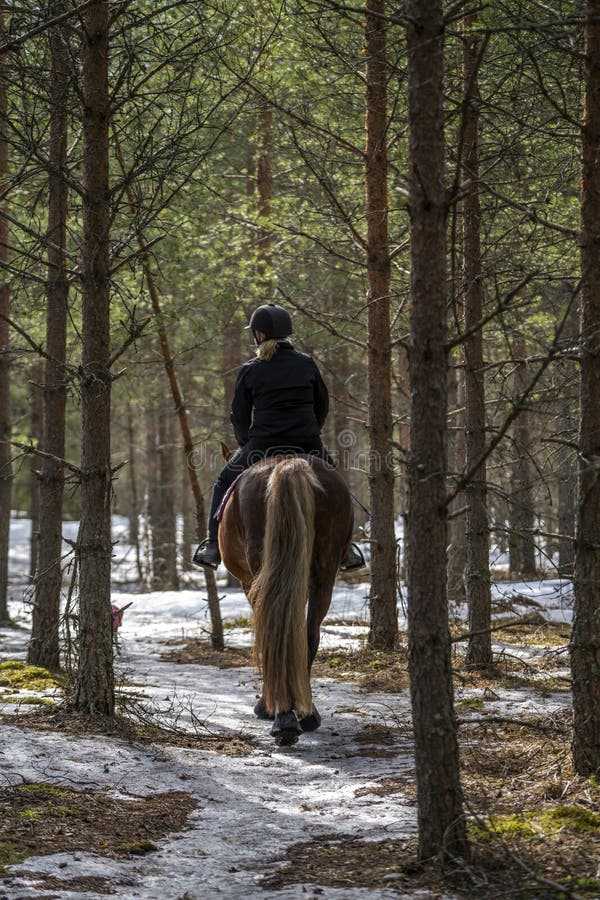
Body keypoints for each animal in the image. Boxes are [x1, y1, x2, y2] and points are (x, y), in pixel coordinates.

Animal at [218, 454, 354, 746]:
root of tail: (288, 462)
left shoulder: (248, 583)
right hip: (324, 571)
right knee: (308, 633)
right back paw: (305, 714)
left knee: (271, 630)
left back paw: (280, 717)